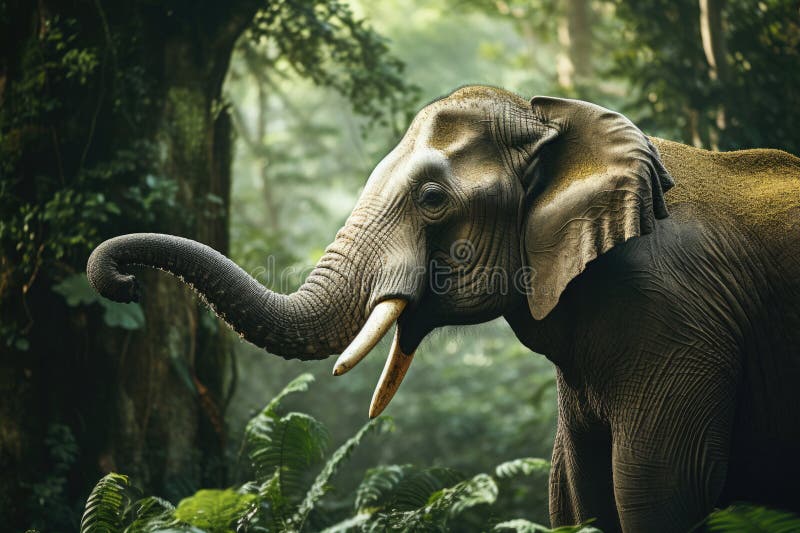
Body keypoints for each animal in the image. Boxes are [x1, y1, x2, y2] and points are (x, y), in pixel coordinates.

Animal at [88, 85, 800, 532]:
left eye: (432, 199)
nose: (122, 280)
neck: (554, 123)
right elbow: (577, 492)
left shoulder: (674, 317)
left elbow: (658, 490)